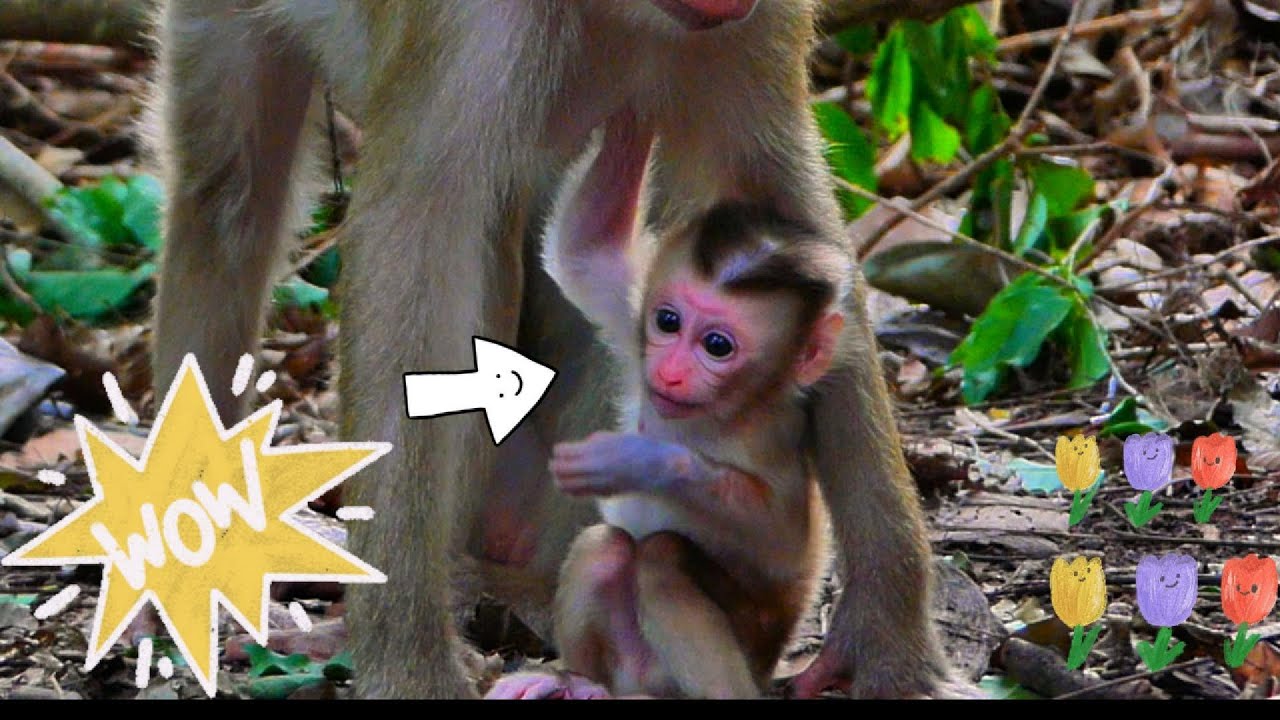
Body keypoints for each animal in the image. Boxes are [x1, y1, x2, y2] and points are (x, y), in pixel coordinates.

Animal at [487, 109, 847, 699]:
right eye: (668, 321)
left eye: (717, 345)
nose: (670, 372)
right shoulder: (634, 321)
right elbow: (584, 254)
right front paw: (631, 122)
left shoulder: (773, 434)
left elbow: (780, 543)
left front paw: (637, 461)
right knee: (605, 550)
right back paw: (580, 681)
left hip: (736, 657)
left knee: (662, 559)